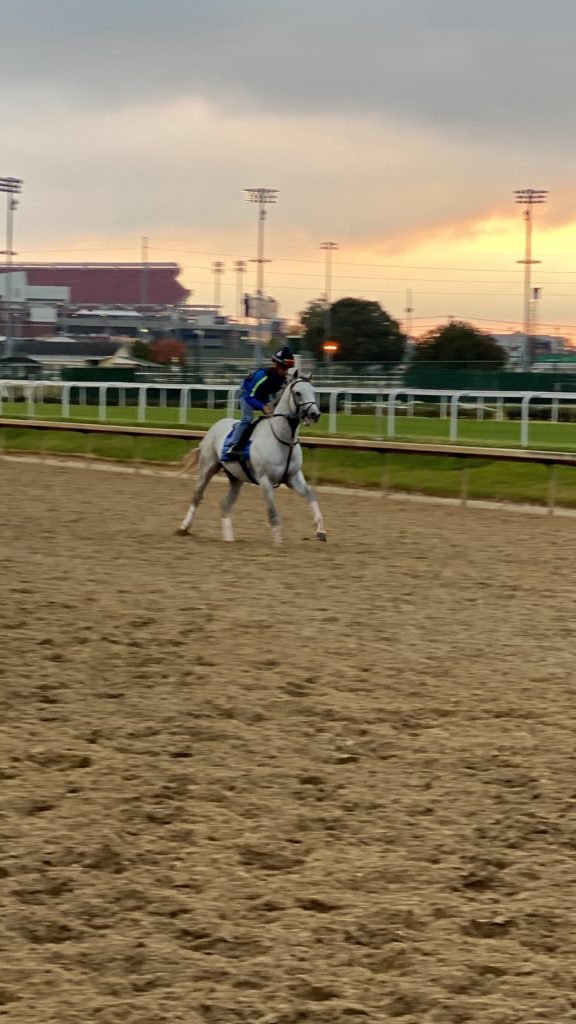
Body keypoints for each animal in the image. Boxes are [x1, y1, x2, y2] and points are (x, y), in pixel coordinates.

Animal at [175, 370, 327, 544]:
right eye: (298, 393)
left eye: (313, 391)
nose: (314, 414)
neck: (283, 440)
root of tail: (215, 426)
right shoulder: (265, 479)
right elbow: (272, 513)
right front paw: (278, 544)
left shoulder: (293, 476)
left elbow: (310, 494)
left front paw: (321, 531)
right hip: (208, 467)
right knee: (197, 496)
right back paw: (183, 527)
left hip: (235, 477)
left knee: (225, 504)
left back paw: (229, 539)